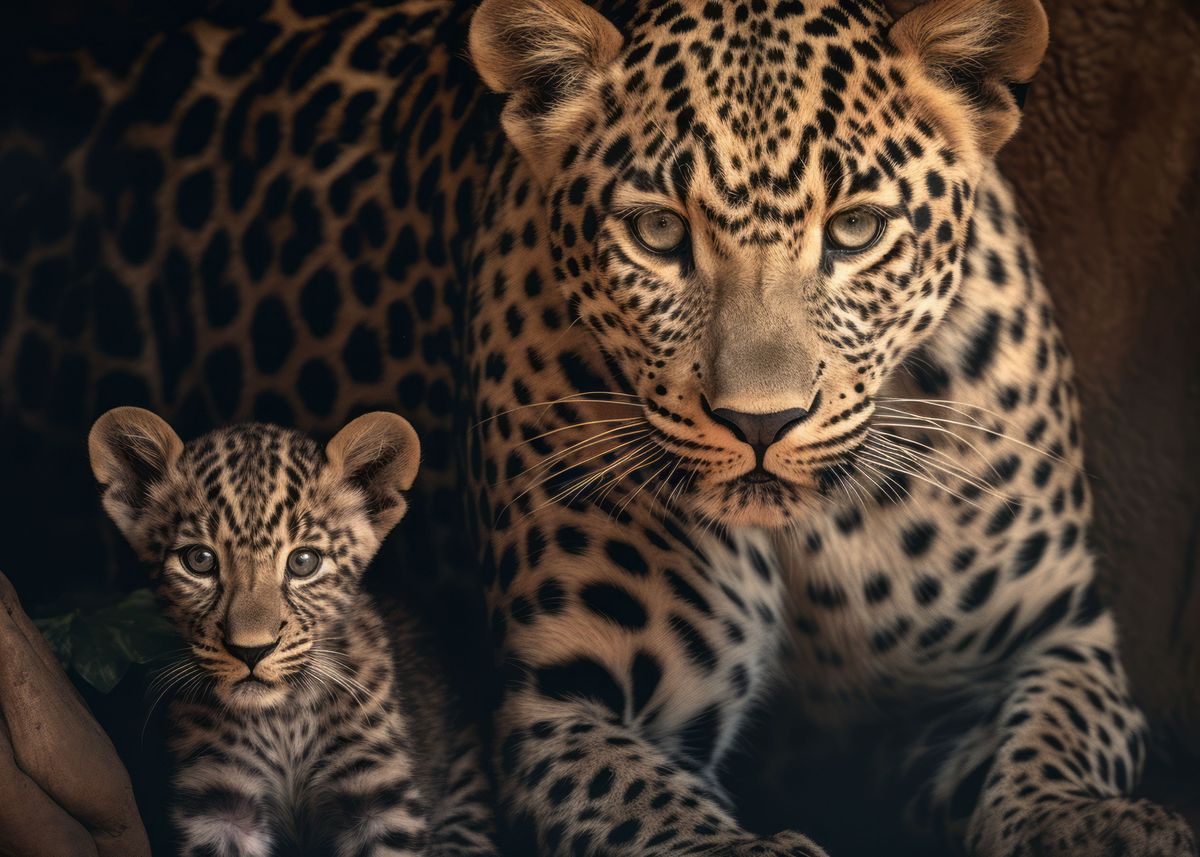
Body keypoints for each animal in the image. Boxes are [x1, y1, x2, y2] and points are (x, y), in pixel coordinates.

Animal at [88, 407, 498, 856]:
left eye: (304, 562)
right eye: (199, 560)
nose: (251, 651)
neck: (283, 718)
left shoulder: (379, 798)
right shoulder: (220, 804)